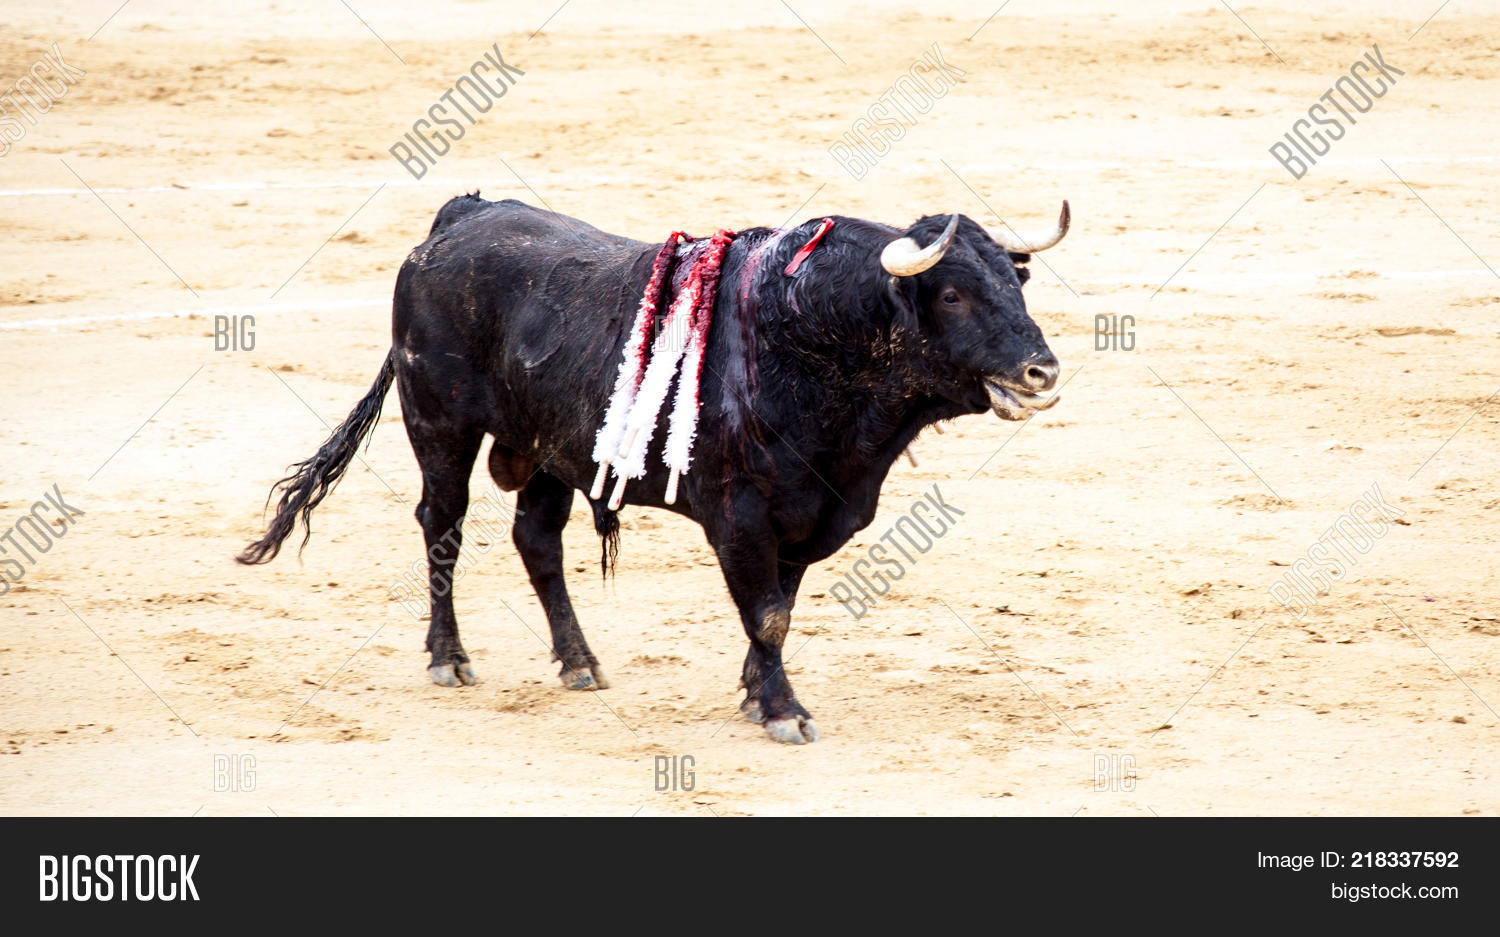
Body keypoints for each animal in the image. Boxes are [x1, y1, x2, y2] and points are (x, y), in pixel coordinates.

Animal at [238, 193, 1069, 744]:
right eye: (954, 294)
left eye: (1015, 284)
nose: (1042, 370)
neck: (810, 331)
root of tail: (458, 219)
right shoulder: (740, 514)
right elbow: (766, 611)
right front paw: (783, 711)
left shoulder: (806, 511)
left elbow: (780, 606)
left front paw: (752, 692)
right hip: (439, 426)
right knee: (442, 528)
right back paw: (449, 658)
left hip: (550, 450)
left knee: (537, 541)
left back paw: (579, 662)